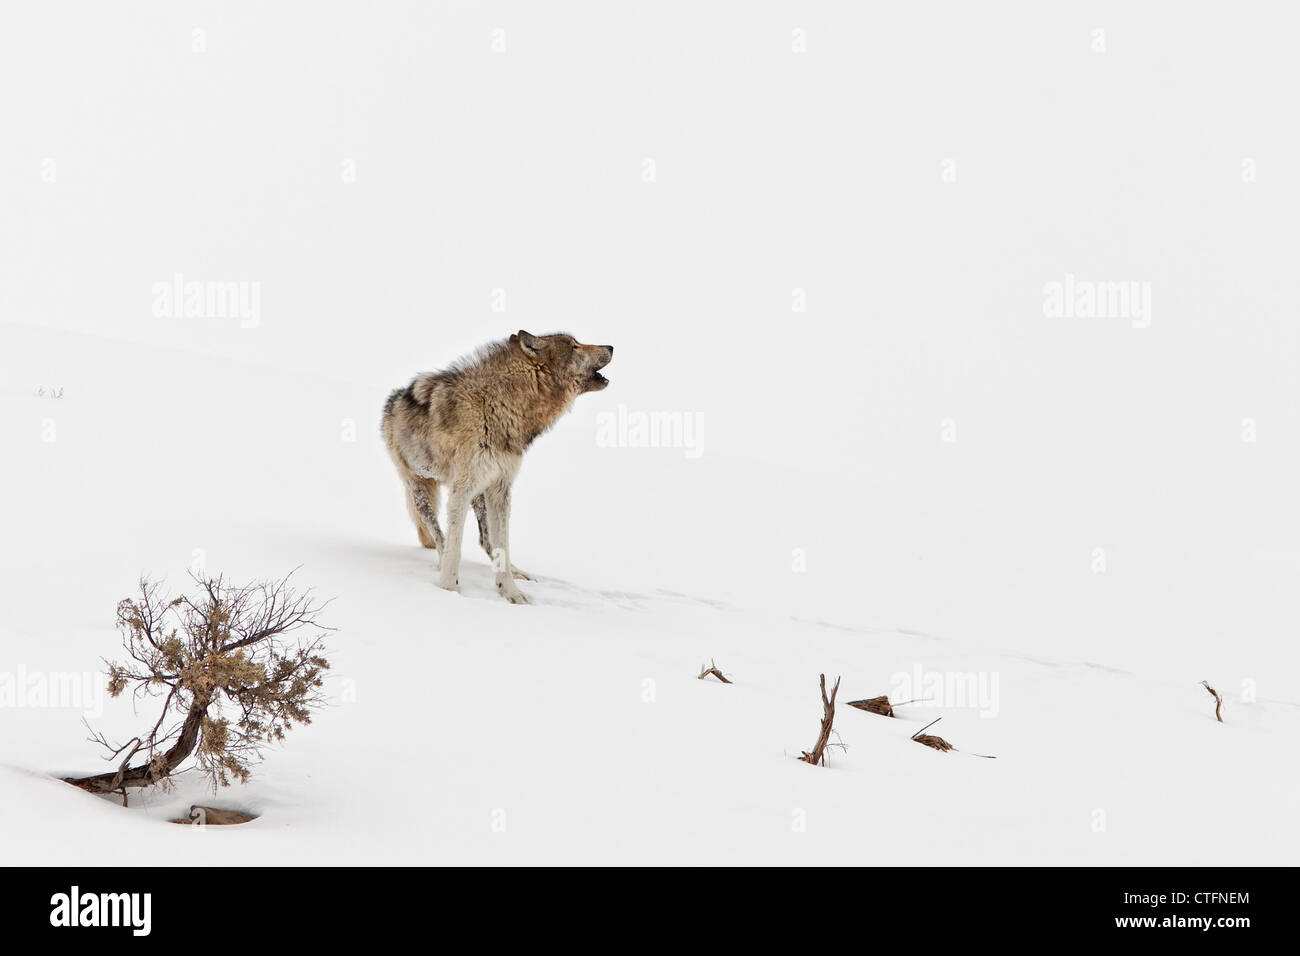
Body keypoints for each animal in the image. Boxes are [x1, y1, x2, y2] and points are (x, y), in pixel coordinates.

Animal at [382, 330, 614, 603]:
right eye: (575, 346)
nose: (611, 347)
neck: (497, 405)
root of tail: (394, 399)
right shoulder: (460, 490)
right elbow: (454, 547)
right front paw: (449, 591)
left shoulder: (500, 489)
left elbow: (502, 544)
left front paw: (511, 594)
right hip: (420, 489)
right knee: (440, 536)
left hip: (480, 495)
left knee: (486, 540)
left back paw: (518, 572)